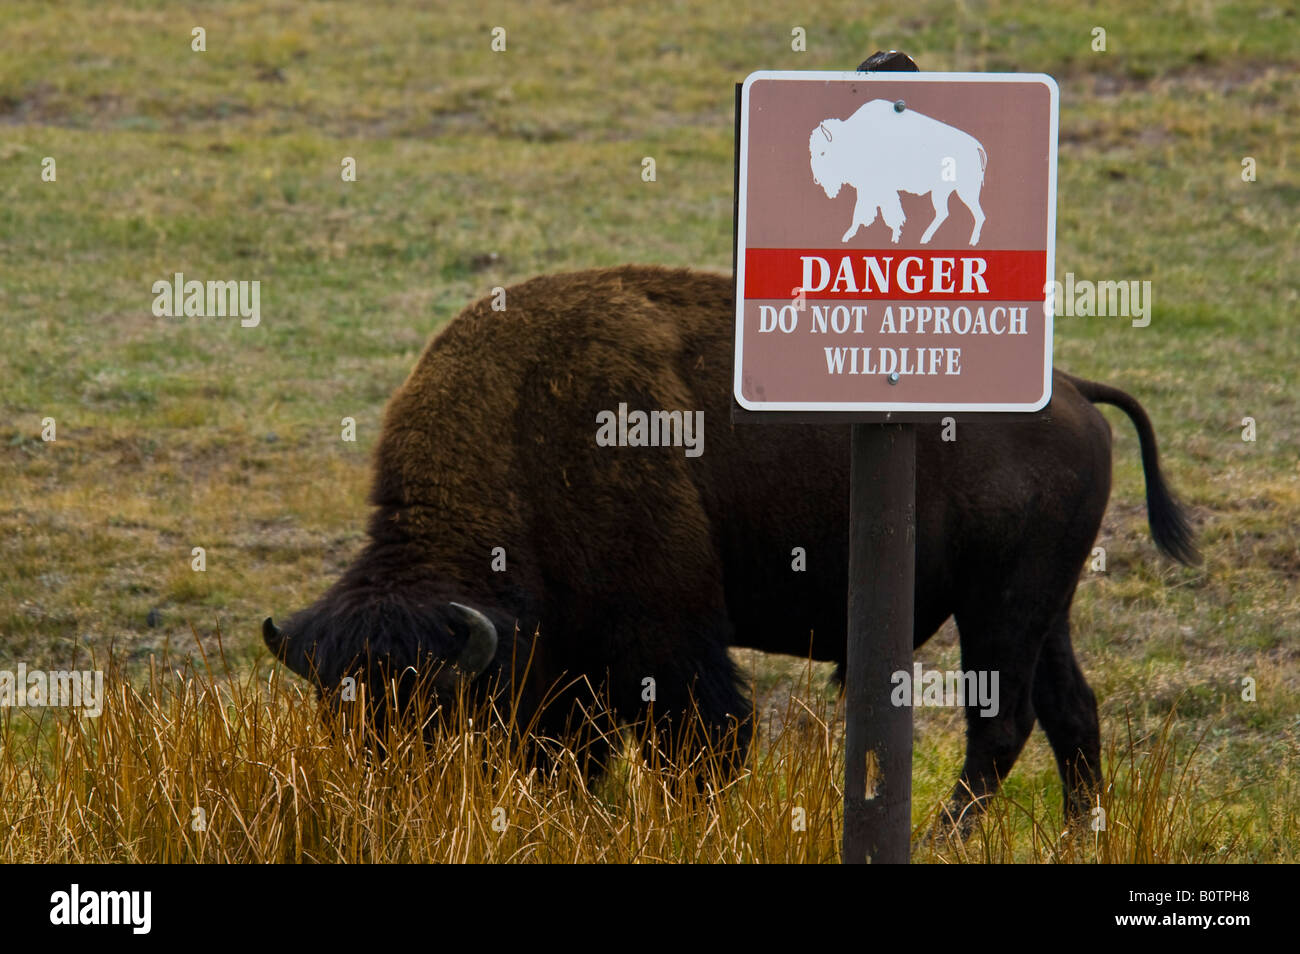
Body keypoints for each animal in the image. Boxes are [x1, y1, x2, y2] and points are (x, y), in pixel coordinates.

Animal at [264, 265, 1198, 820]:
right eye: (333, 711)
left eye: (430, 712)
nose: (379, 800)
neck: (523, 434)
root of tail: (1072, 389)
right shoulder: (576, 664)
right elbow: (574, 754)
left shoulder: (665, 646)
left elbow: (700, 743)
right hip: (1042, 607)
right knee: (1072, 711)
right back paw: (1080, 832)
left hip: (1000, 607)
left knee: (1003, 725)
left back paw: (945, 835)